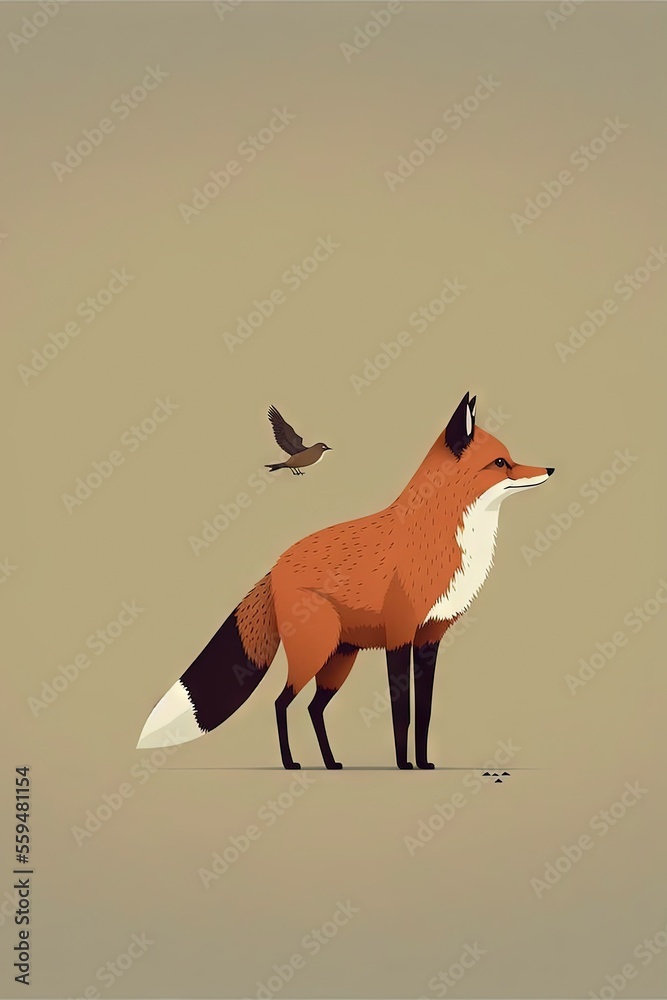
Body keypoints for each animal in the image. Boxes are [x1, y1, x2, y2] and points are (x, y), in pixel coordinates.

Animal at [137, 392, 554, 769]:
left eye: (510, 458)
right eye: (501, 462)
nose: (550, 471)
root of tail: (276, 564)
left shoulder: (430, 639)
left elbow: (424, 714)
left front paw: (423, 762)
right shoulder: (400, 635)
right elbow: (402, 713)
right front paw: (404, 765)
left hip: (340, 660)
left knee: (313, 708)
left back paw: (331, 762)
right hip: (315, 654)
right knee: (281, 703)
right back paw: (290, 763)